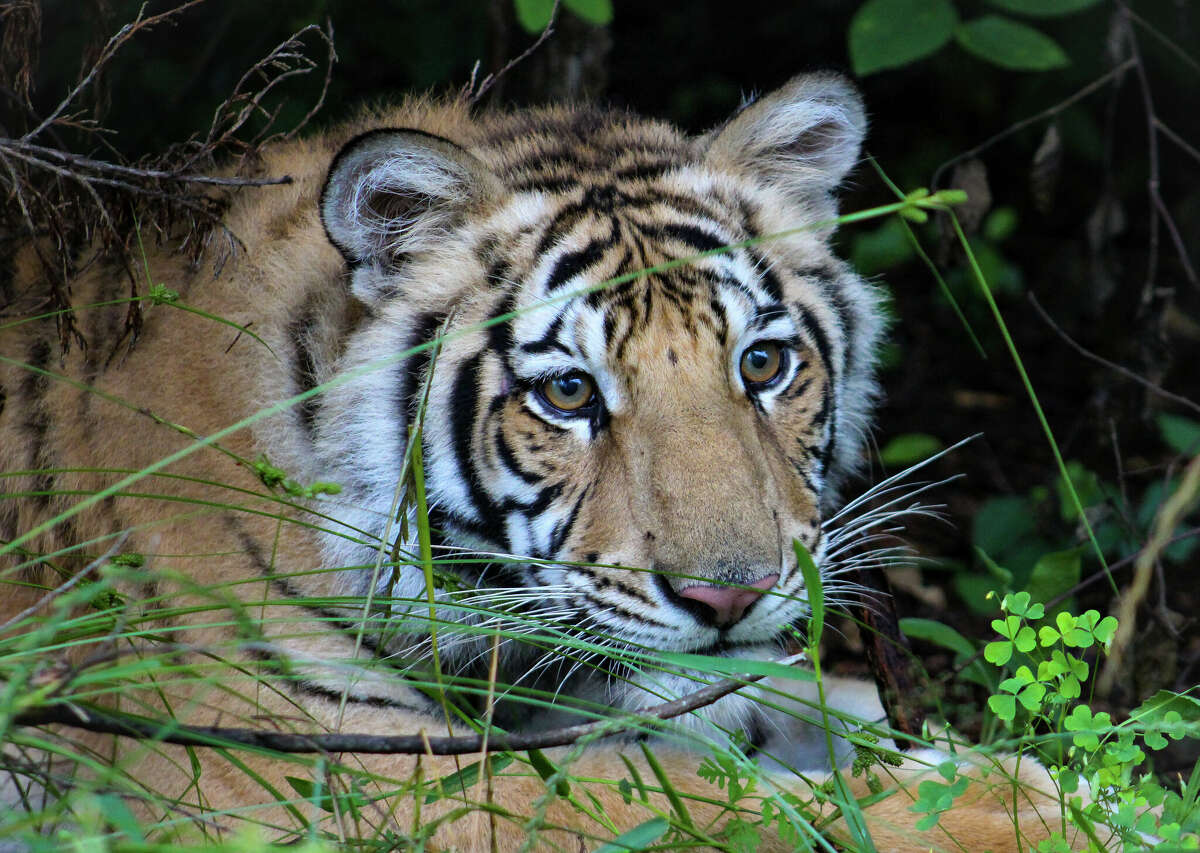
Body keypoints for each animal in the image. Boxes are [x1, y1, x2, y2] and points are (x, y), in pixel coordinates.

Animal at [0, 73, 1078, 852]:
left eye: (763, 364)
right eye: (568, 393)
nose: (731, 596)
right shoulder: (285, 760)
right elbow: (692, 805)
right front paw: (1014, 807)